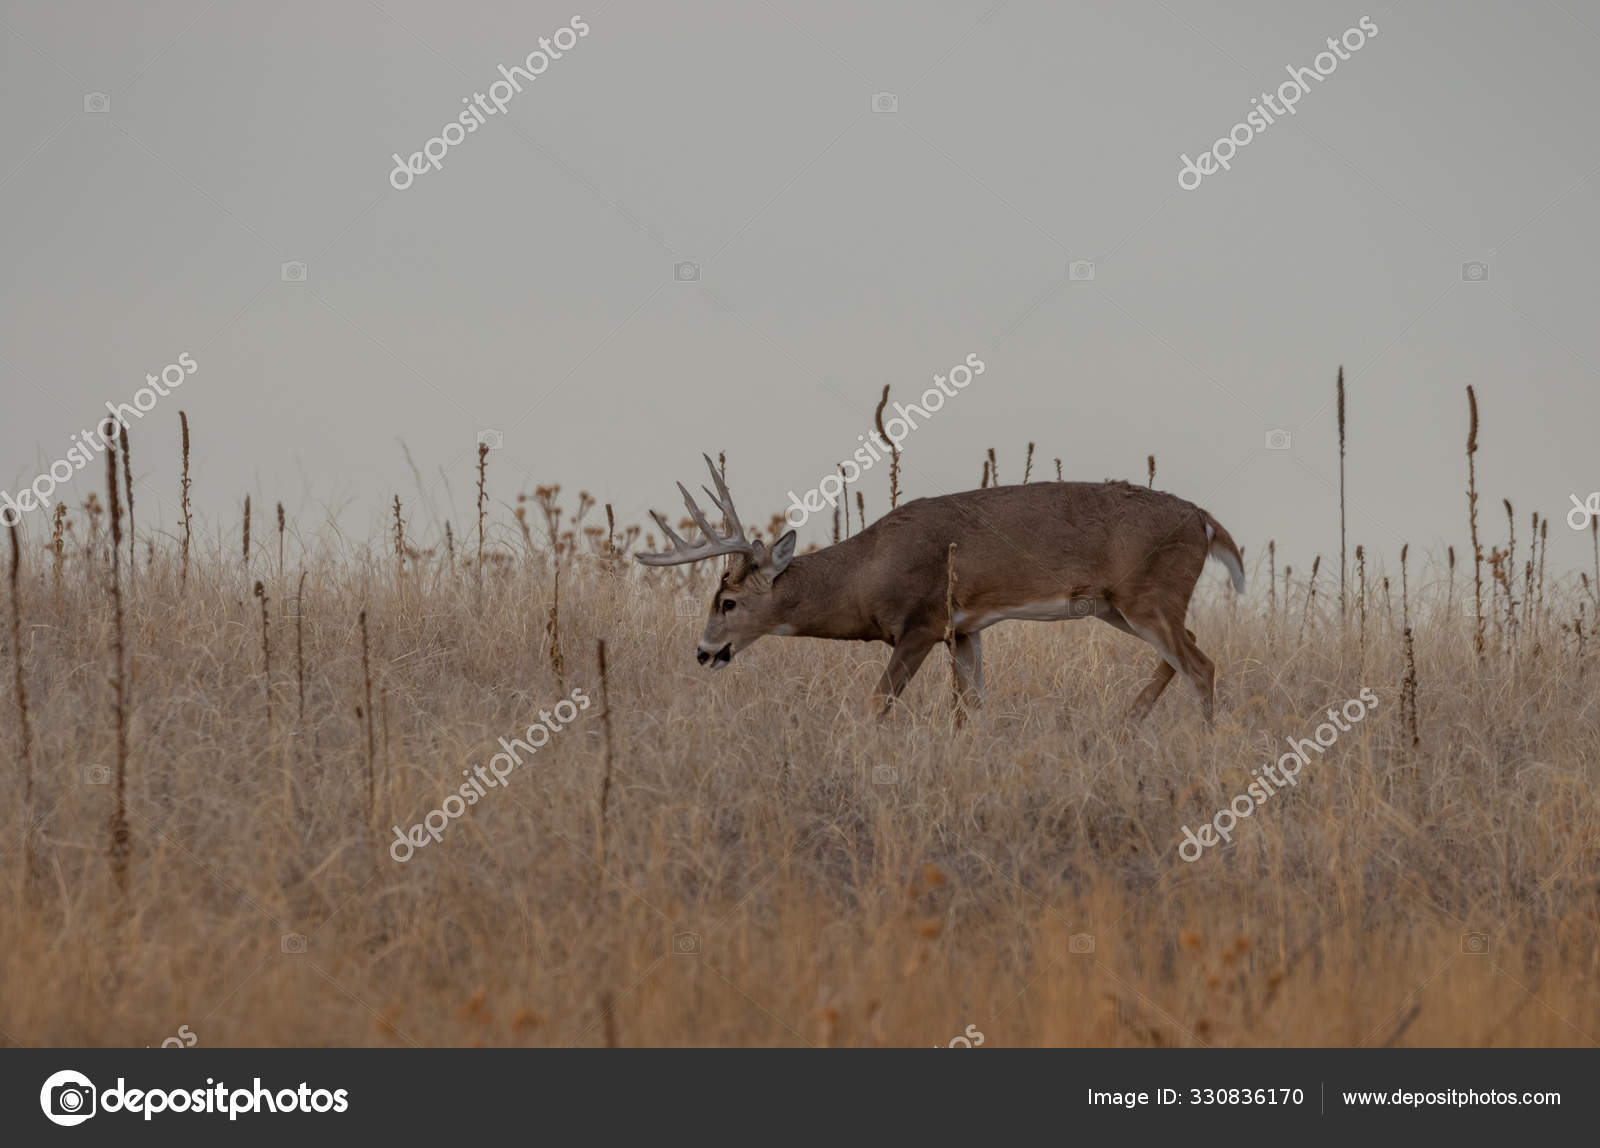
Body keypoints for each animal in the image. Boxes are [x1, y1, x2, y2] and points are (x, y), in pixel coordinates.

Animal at [635, 455, 1246, 724]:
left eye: (728, 601)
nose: (704, 651)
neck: (866, 570)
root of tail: (1205, 520)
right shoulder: (965, 630)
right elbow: (970, 706)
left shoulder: (922, 622)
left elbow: (878, 700)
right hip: (1118, 605)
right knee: (1188, 652)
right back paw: (1128, 721)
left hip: (1146, 597)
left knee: (1201, 664)